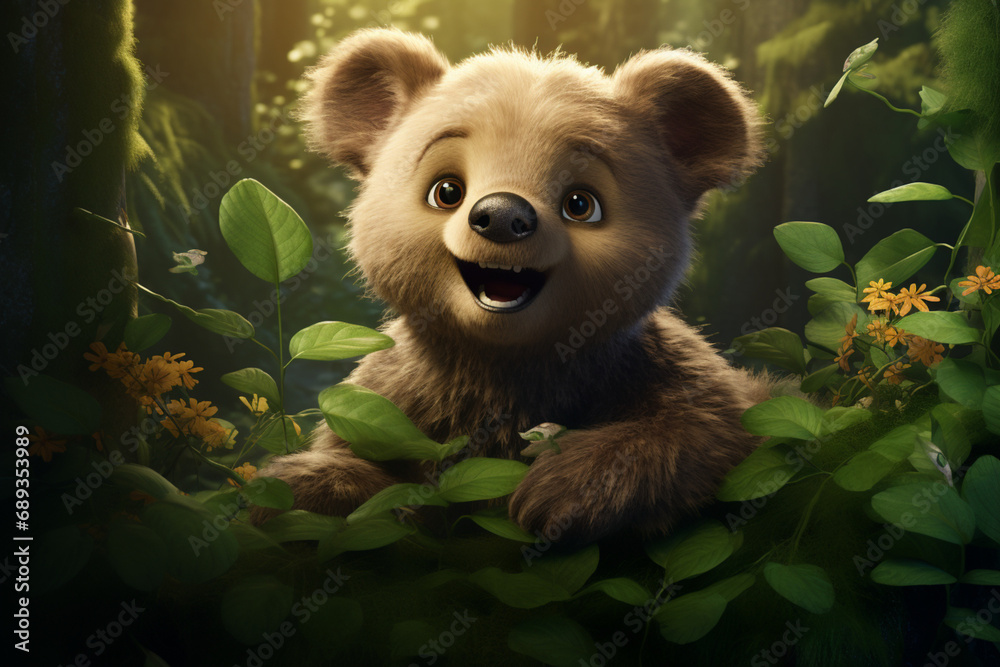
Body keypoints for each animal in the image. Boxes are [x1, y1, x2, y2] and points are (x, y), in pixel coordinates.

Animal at [256, 28, 770, 545]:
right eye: (447, 191)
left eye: (580, 204)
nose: (503, 215)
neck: (501, 362)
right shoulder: (392, 392)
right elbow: (357, 466)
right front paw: (301, 487)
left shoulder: (652, 364)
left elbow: (711, 426)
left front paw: (563, 487)